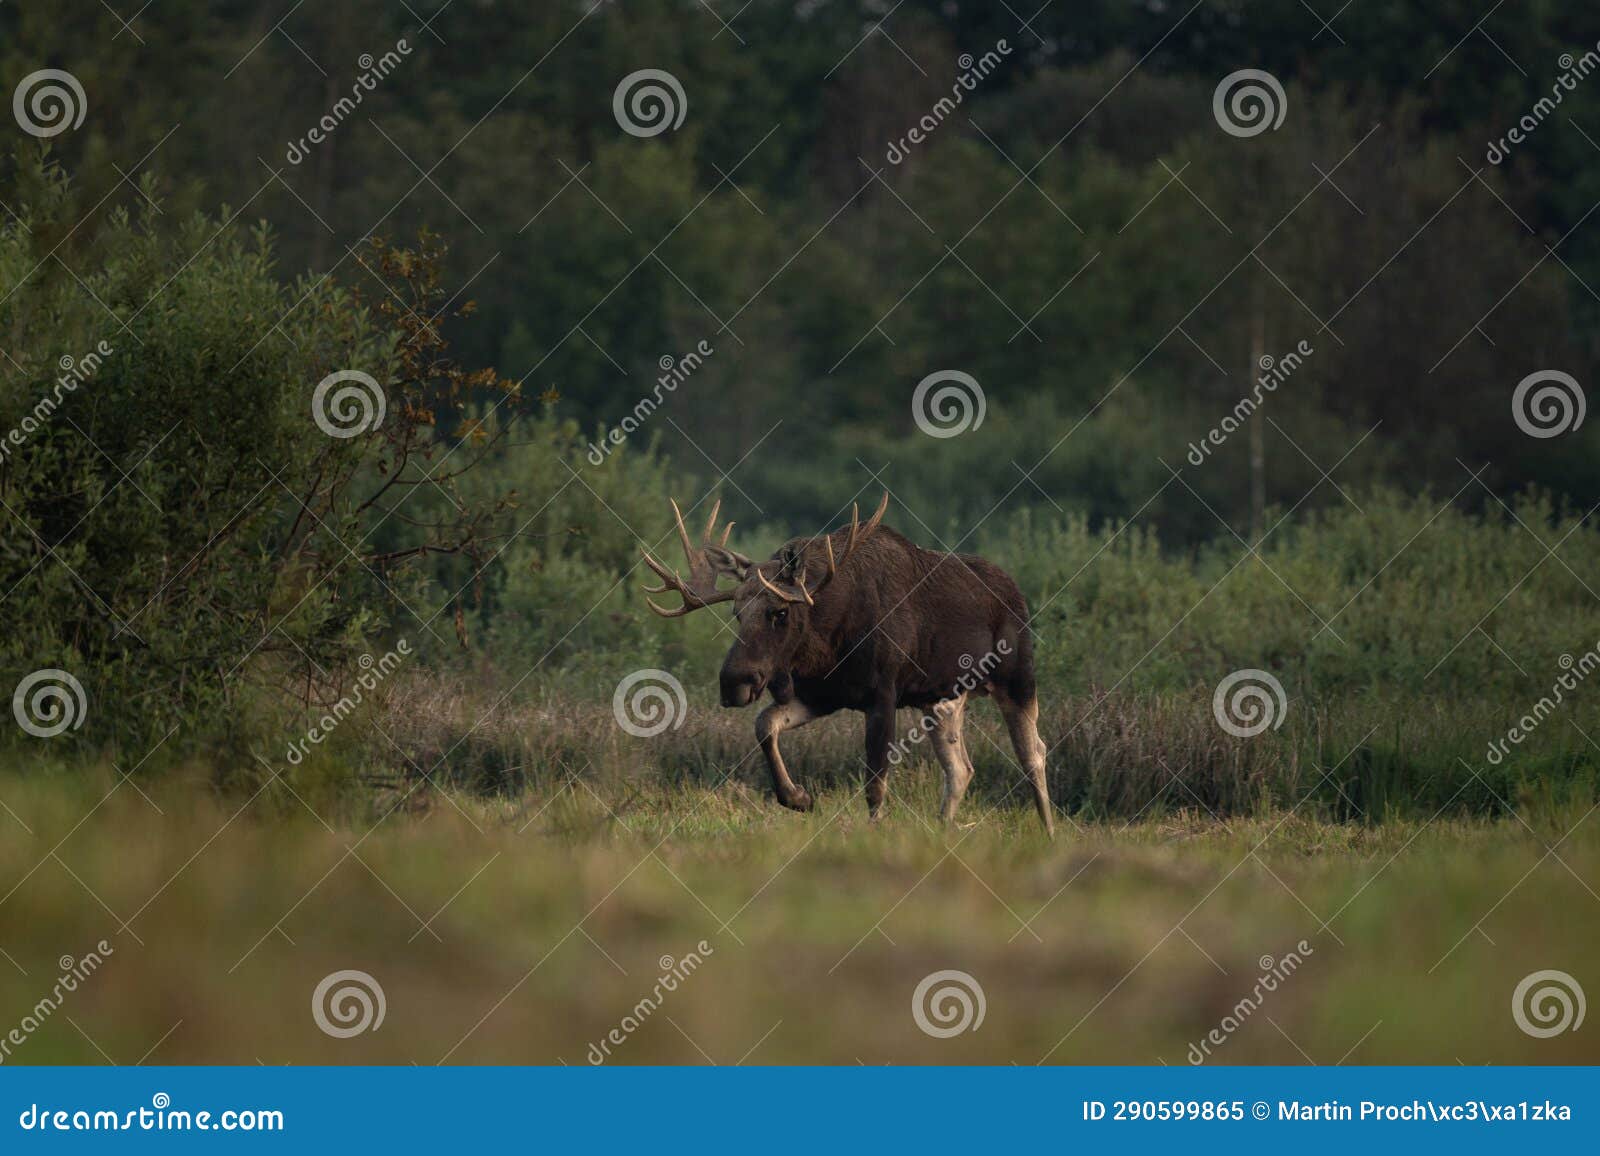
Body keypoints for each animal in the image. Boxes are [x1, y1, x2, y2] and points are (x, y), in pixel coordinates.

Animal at [640, 494, 1055, 835]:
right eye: (737, 612)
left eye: (779, 613)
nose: (733, 682)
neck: (827, 639)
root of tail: (1018, 592)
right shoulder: (822, 695)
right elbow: (764, 725)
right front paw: (798, 797)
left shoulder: (883, 694)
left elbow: (875, 782)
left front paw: (872, 833)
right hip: (942, 699)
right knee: (960, 768)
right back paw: (943, 830)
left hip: (1017, 678)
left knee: (1034, 752)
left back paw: (1048, 834)